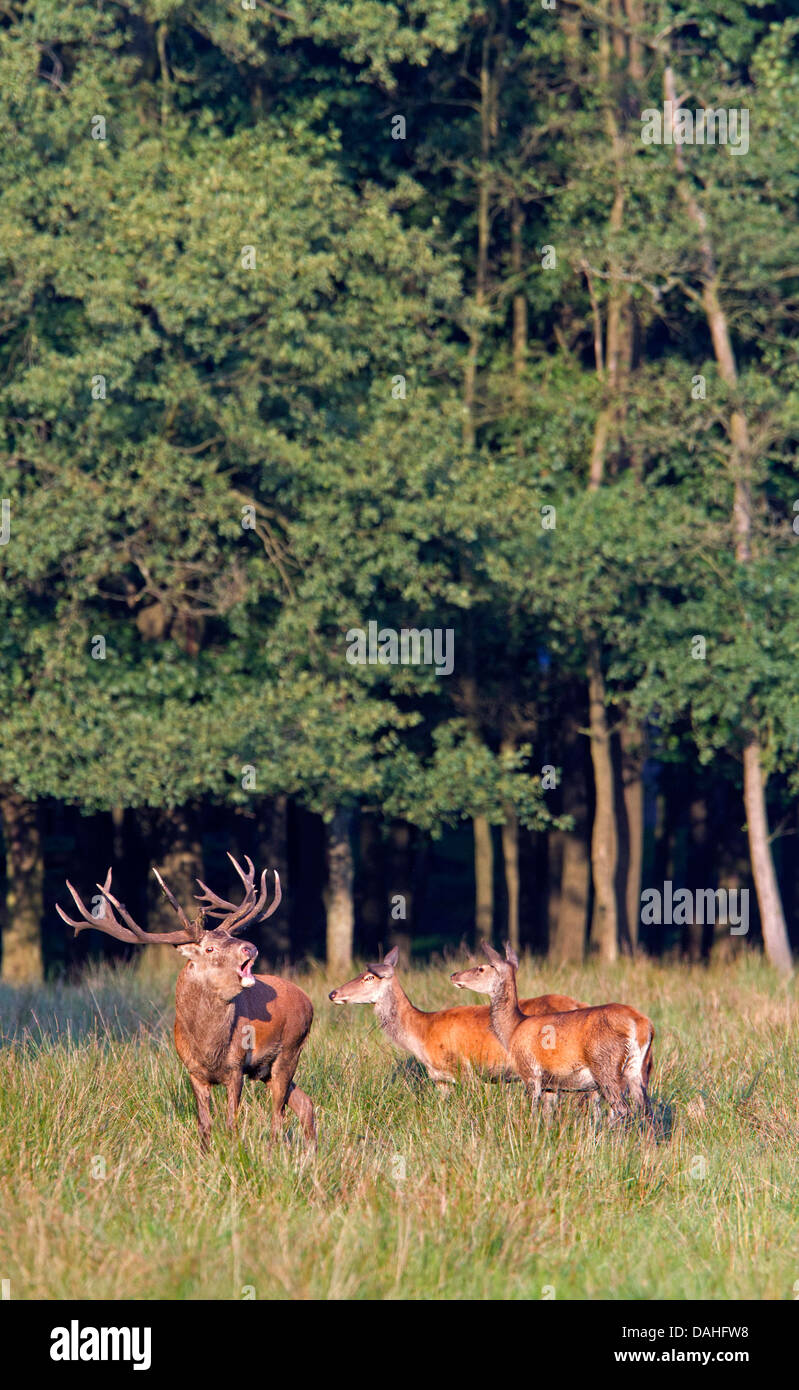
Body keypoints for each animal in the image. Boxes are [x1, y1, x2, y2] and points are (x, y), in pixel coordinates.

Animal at [56, 855, 316, 1149]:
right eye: (210, 948)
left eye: (231, 937)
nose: (250, 947)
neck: (209, 1046)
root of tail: (307, 1000)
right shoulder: (193, 1070)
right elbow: (204, 1124)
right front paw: (205, 1153)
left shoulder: (236, 1066)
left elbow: (231, 1123)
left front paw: (233, 1152)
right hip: (266, 1070)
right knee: (304, 1103)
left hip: (290, 1050)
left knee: (278, 1113)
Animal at [329, 945, 588, 1089]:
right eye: (360, 973)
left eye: (369, 978)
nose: (333, 993)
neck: (421, 1033)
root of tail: (580, 1002)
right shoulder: (439, 1079)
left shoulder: (463, 1069)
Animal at [451, 943, 654, 1127]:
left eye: (481, 968)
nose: (453, 975)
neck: (513, 1029)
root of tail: (642, 1025)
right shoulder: (551, 1084)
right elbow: (548, 1115)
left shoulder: (529, 1070)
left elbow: (533, 1110)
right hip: (637, 1068)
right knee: (646, 1110)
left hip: (605, 1063)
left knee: (622, 1109)